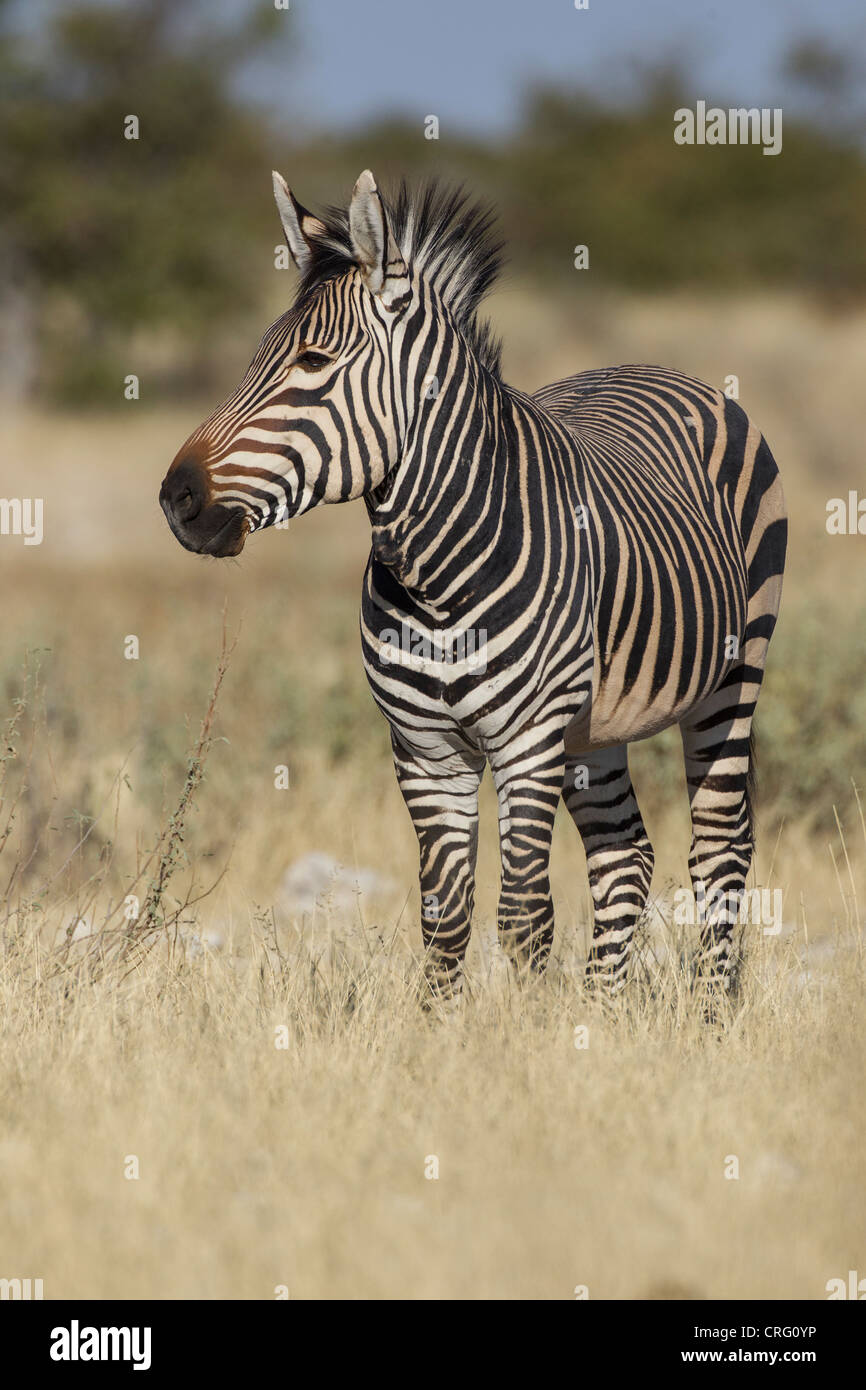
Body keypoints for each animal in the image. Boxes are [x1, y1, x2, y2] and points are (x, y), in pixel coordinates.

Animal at [159, 169, 787, 1005]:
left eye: (314, 363)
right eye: (257, 356)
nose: (176, 499)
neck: (436, 576)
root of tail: (652, 366)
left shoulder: (526, 740)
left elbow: (522, 914)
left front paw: (517, 1034)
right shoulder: (425, 750)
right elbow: (444, 918)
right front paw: (443, 1027)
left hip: (732, 675)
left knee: (719, 850)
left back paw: (711, 1016)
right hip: (592, 727)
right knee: (623, 858)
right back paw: (601, 1011)